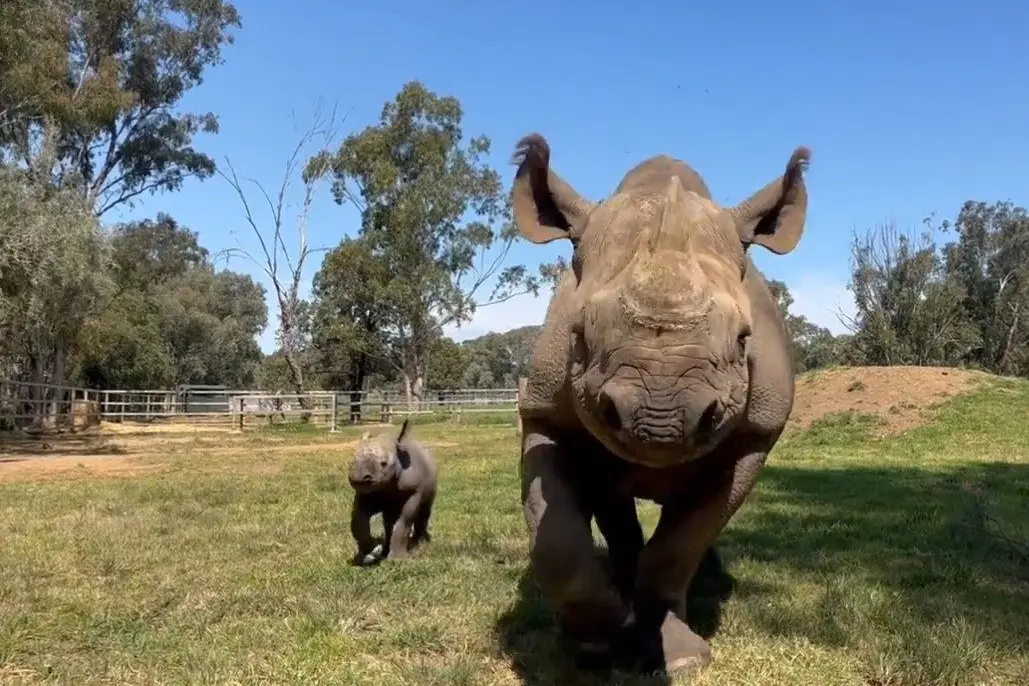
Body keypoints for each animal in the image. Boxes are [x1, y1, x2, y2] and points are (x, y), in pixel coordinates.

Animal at [510, 133, 810, 676]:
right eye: (578, 334)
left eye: (743, 339)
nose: (661, 419)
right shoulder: (543, 411)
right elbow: (555, 532)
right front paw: (596, 639)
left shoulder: (755, 434)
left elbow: (681, 545)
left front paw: (682, 657)